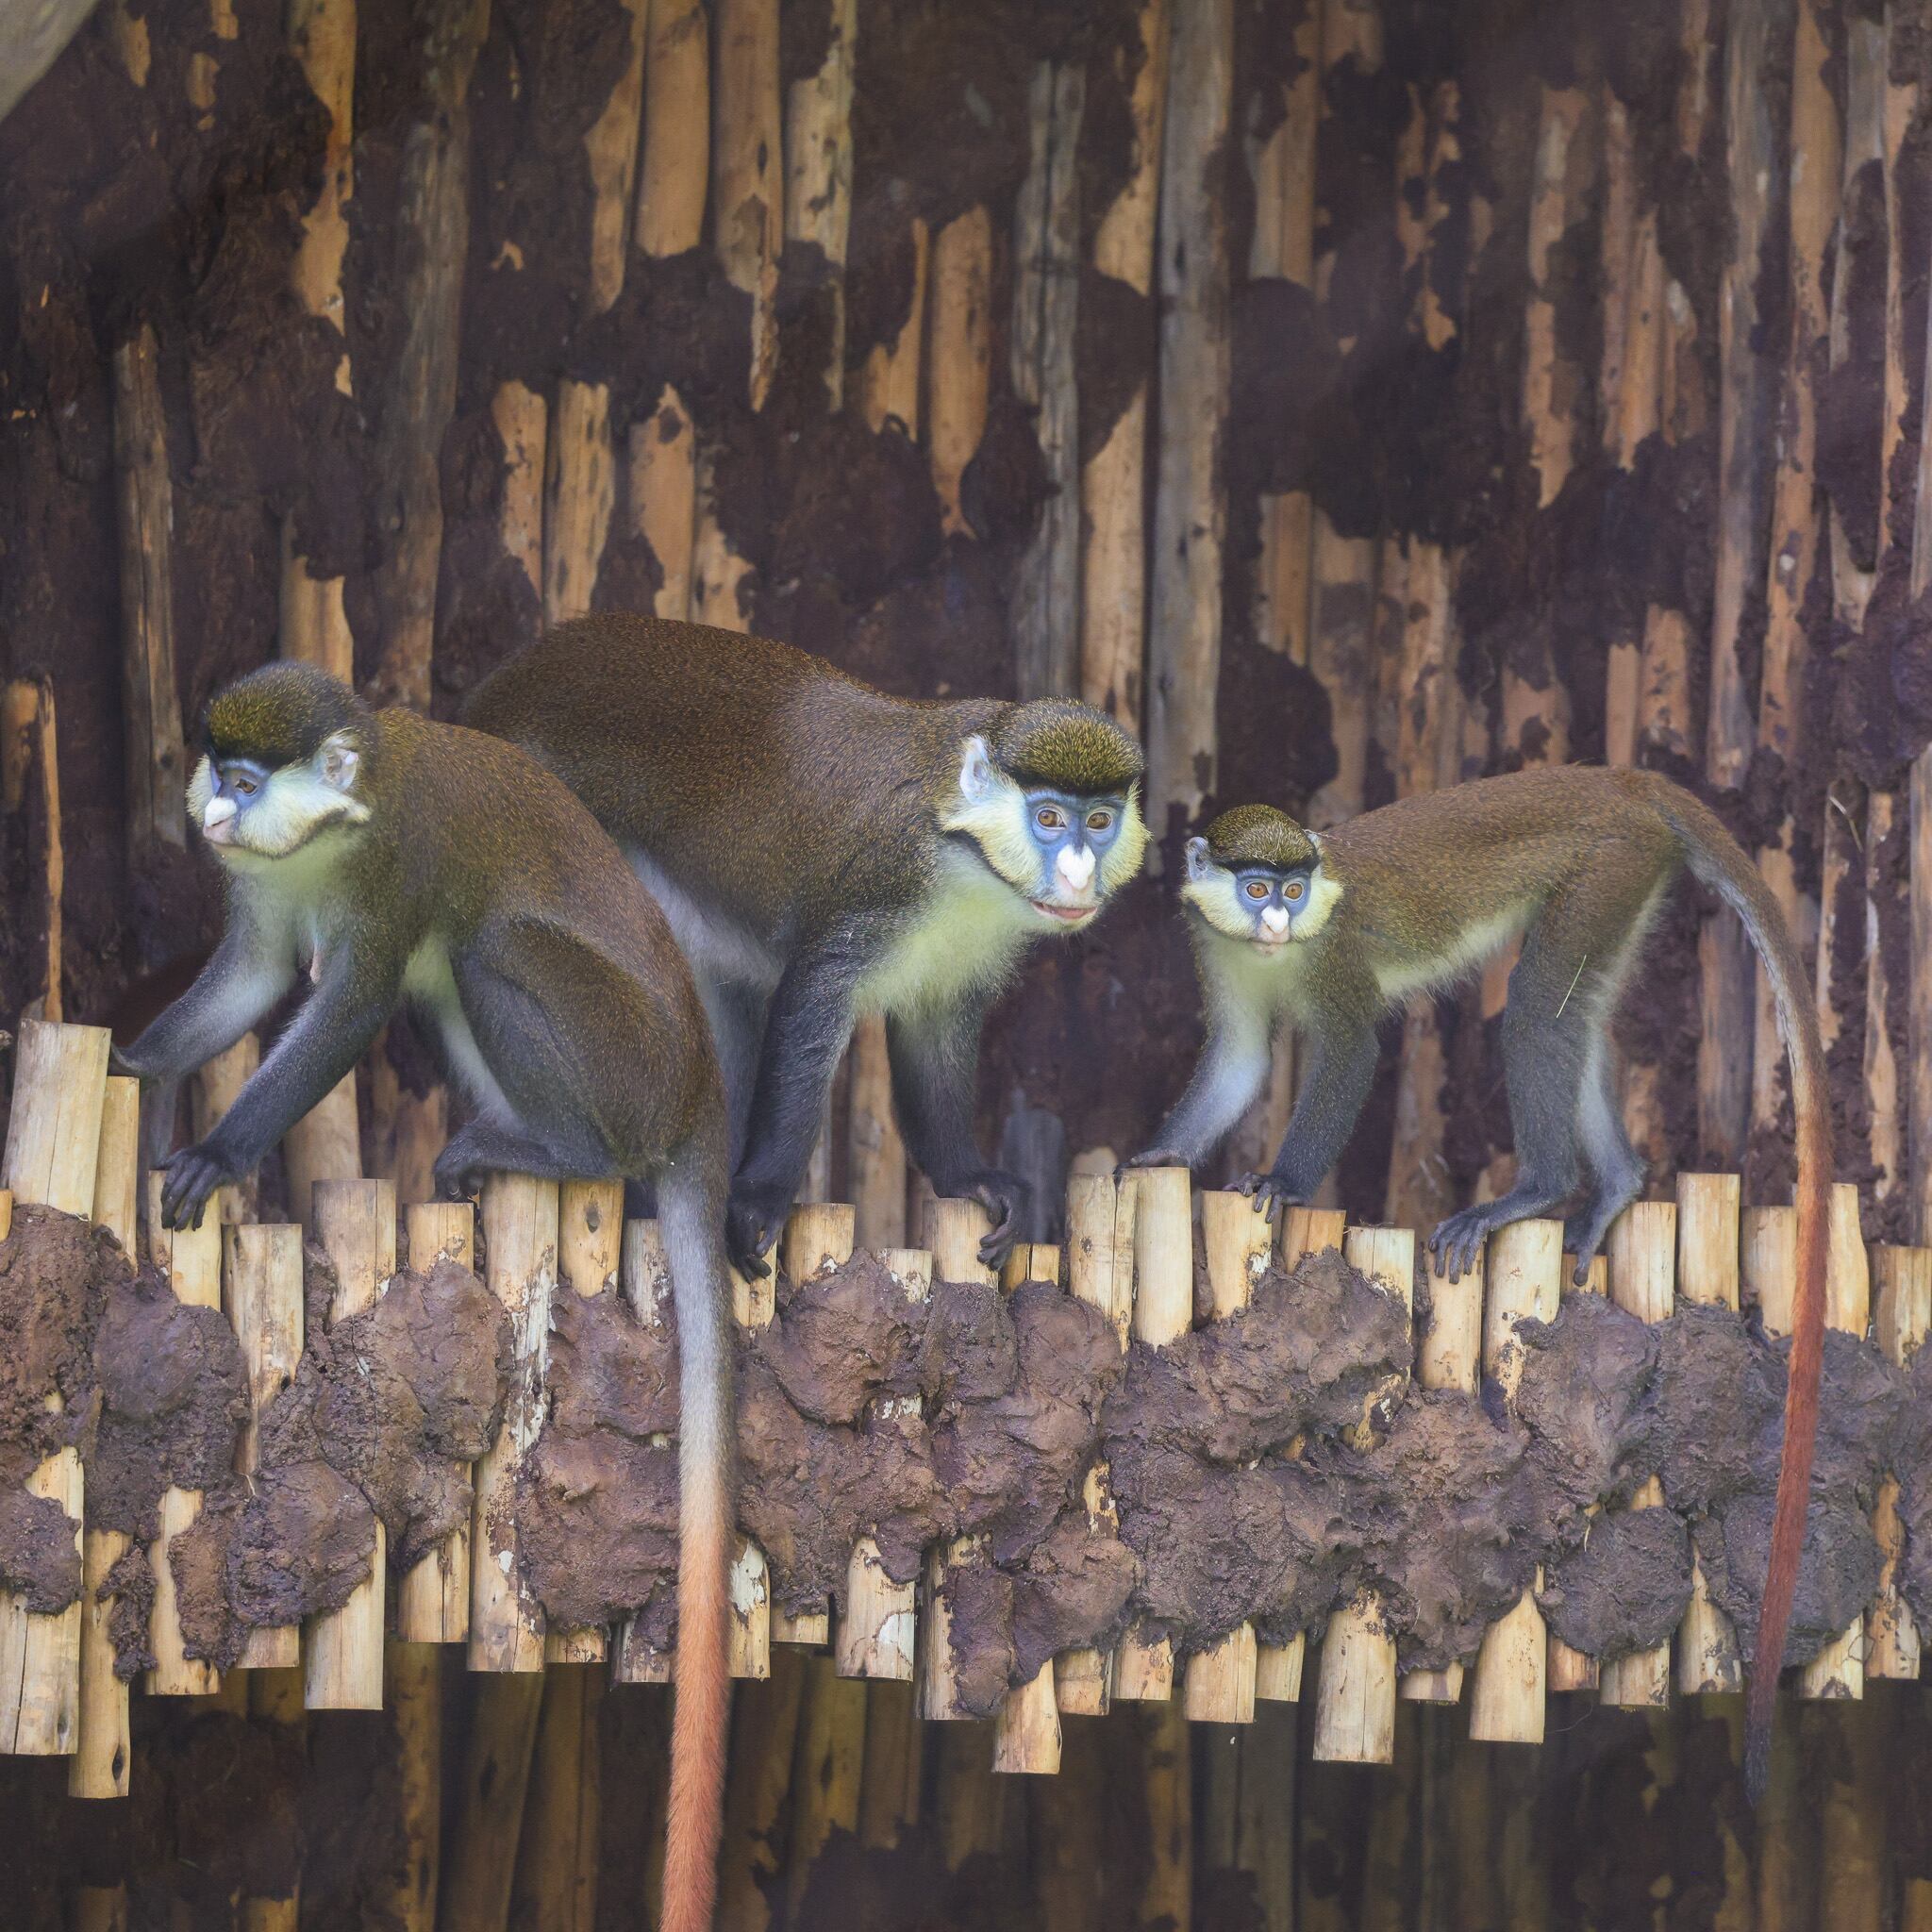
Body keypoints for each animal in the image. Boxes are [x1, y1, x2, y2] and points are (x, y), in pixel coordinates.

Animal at [114, 664, 732, 1932]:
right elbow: (250, 980)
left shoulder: (393, 869)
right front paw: (134, 1066)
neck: (332, 827)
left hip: (623, 1066)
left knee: (490, 948)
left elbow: (347, 1008)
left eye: (242, 779)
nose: (210, 815)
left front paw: (221, 1149)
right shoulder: (269, 892)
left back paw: (556, 1149)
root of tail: (699, 1089)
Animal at [463, 612, 1149, 1278]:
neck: (963, 850)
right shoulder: (885, 881)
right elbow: (815, 997)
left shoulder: (966, 954)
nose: (1079, 873)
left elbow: (932, 1033)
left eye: (1099, 821)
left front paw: (968, 1177)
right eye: (1048, 819)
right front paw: (761, 1197)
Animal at [1128, 765, 1828, 1802]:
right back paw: (1614, 1185)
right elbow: (1241, 1063)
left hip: (1608, 863)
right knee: (1572, 1011)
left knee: (1538, 1004)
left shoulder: (1333, 962)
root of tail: (1617, 779)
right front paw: (1155, 1156)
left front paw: (1284, 1184)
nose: (1278, 918)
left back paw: (1538, 1187)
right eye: (1257, 887)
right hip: (1626, 882)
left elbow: (1350, 1054)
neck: (1276, 948)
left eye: (1295, 888)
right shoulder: (1217, 953)